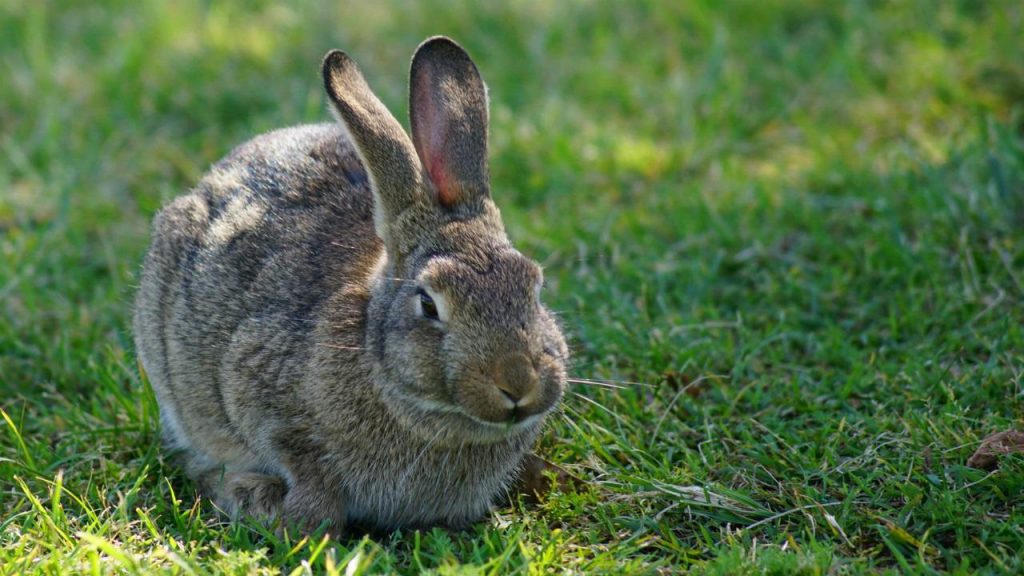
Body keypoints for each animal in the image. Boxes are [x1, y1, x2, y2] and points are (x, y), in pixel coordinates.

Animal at [133, 36, 569, 532]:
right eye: (428, 304)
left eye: (534, 287)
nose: (518, 382)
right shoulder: (263, 397)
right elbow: (306, 474)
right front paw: (285, 515)